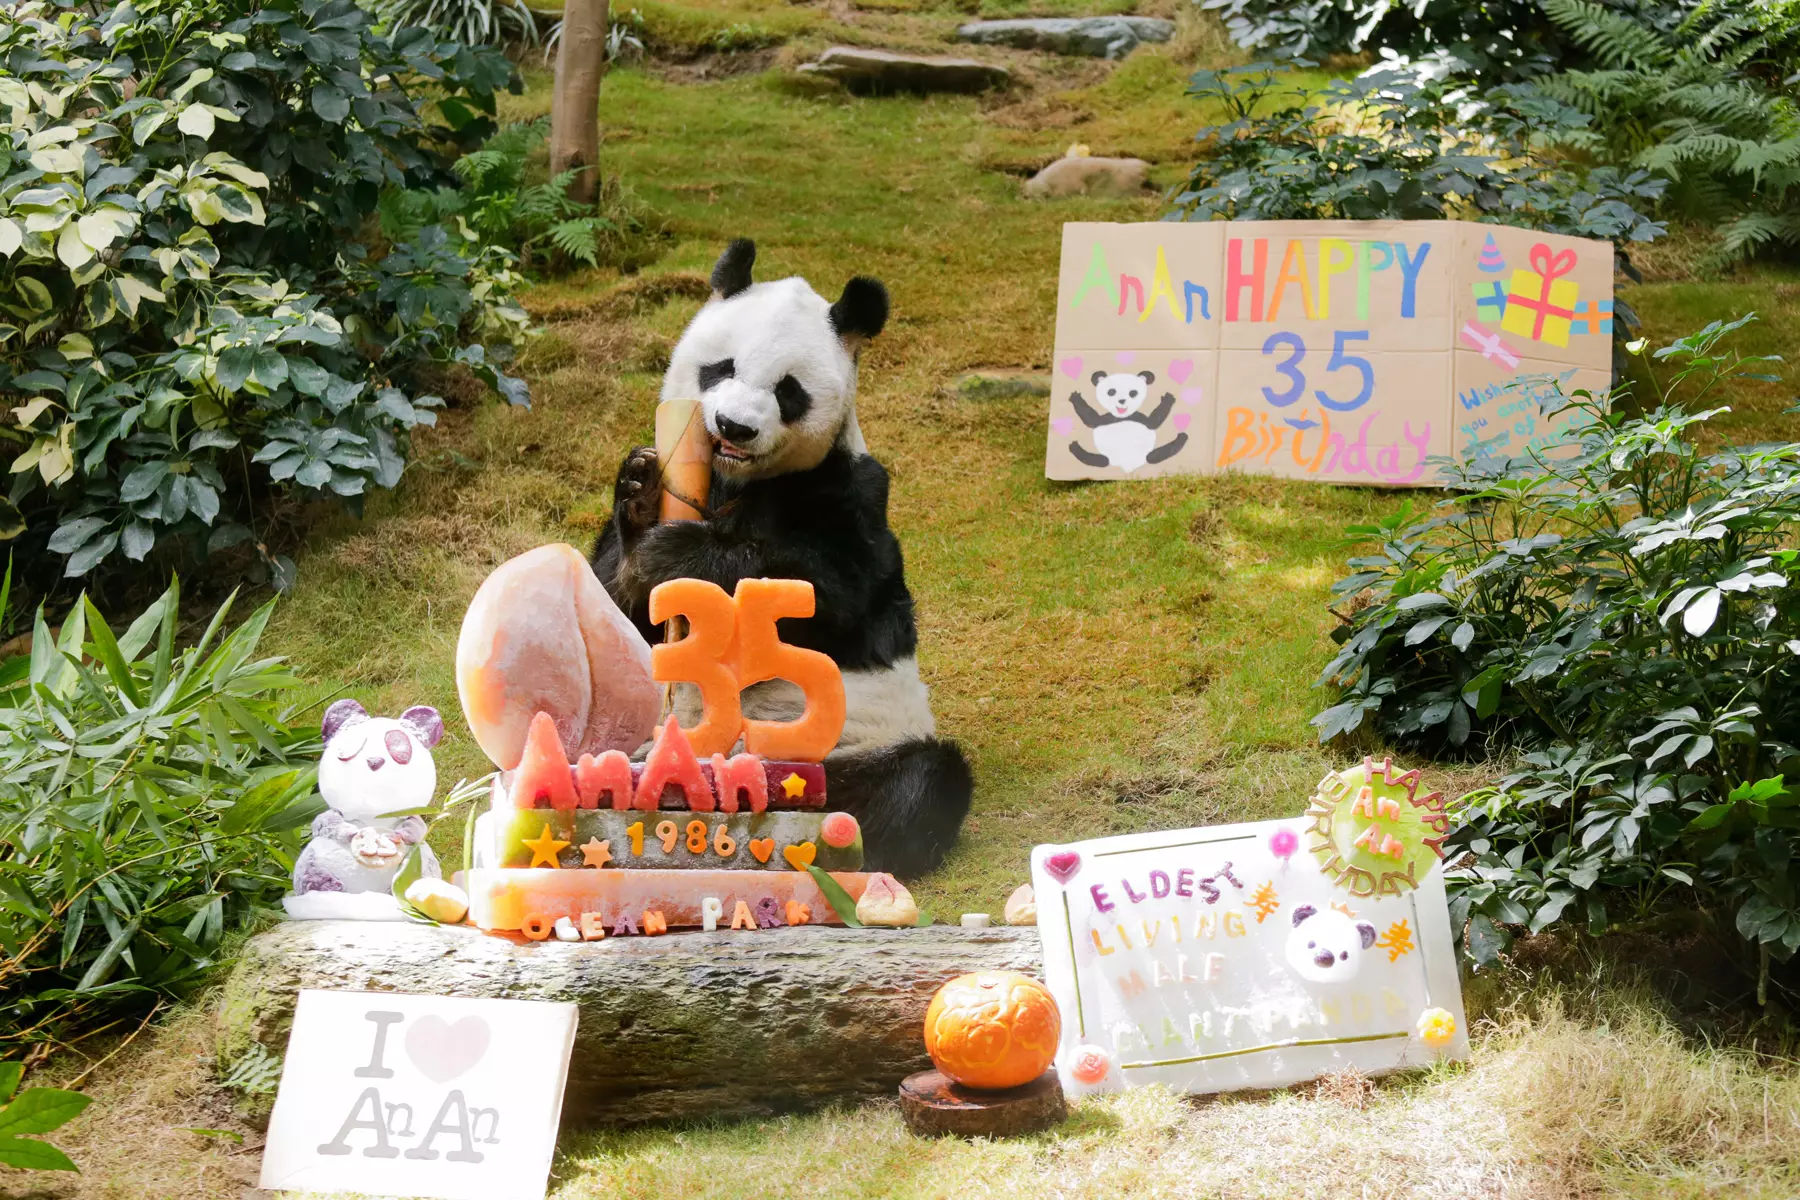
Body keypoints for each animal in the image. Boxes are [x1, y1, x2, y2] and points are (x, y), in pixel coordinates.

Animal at [594, 239, 972, 877]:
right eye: (722, 368)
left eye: (788, 391)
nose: (734, 426)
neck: (735, 477)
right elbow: (622, 606)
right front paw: (642, 493)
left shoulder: (848, 494)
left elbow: (832, 593)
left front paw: (678, 558)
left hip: (847, 749)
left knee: (921, 785)